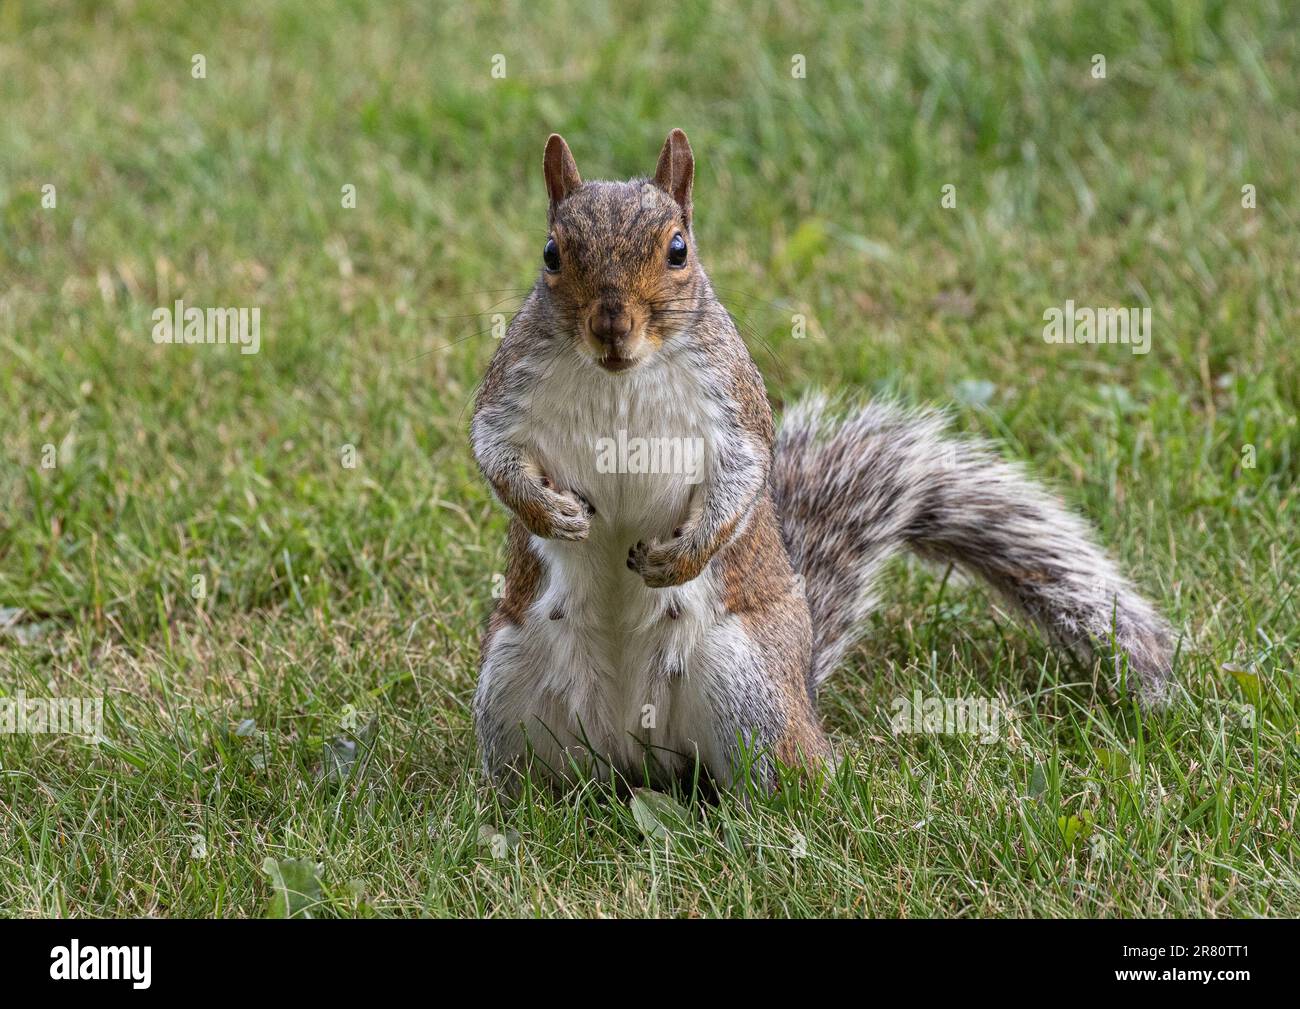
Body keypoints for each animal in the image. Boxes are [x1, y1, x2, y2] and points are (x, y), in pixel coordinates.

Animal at [471, 129, 1175, 793]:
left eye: (678, 249)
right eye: (551, 253)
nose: (611, 326)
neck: (618, 374)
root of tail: (636, 751)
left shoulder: (734, 403)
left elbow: (742, 478)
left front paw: (682, 556)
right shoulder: (509, 390)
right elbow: (492, 449)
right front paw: (550, 513)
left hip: (751, 691)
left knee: (788, 779)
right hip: (508, 685)